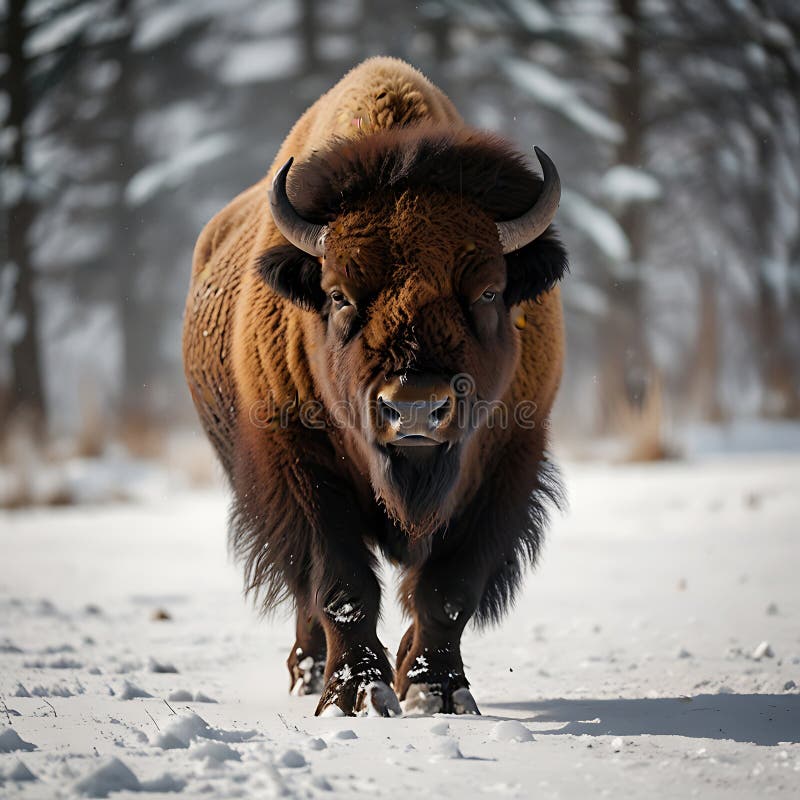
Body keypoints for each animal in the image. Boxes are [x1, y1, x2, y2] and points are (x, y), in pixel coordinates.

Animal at [183, 57, 568, 716]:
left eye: (490, 290)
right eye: (338, 294)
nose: (414, 409)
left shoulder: (505, 469)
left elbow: (449, 590)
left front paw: (435, 691)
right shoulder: (299, 469)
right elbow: (341, 585)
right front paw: (356, 695)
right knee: (305, 592)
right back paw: (310, 672)